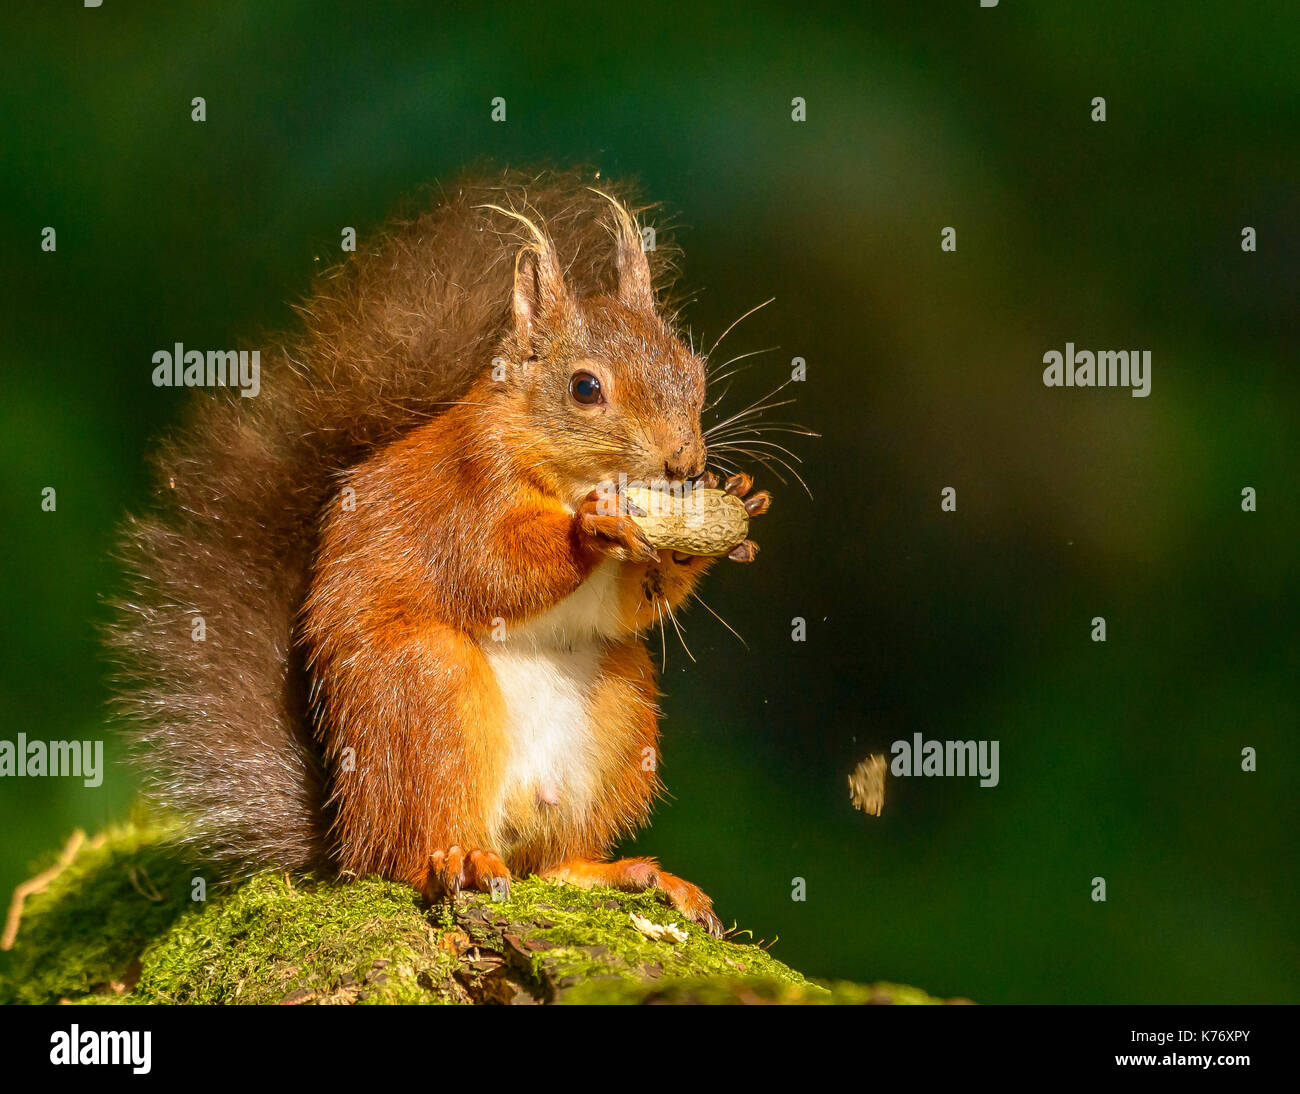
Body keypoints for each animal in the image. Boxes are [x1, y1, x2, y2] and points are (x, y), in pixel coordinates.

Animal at [108, 168, 771, 936]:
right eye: (585, 388)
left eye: (693, 371)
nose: (684, 463)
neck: (554, 469)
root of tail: (347, 834)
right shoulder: (463, 495)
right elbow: (490, 568)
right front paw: (590, 528)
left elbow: (631, 606)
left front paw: (731, 507)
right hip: (426, 693)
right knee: (414, 852)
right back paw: (458, 861)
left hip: (620, 706)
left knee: (548, 863)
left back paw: (630, 875)